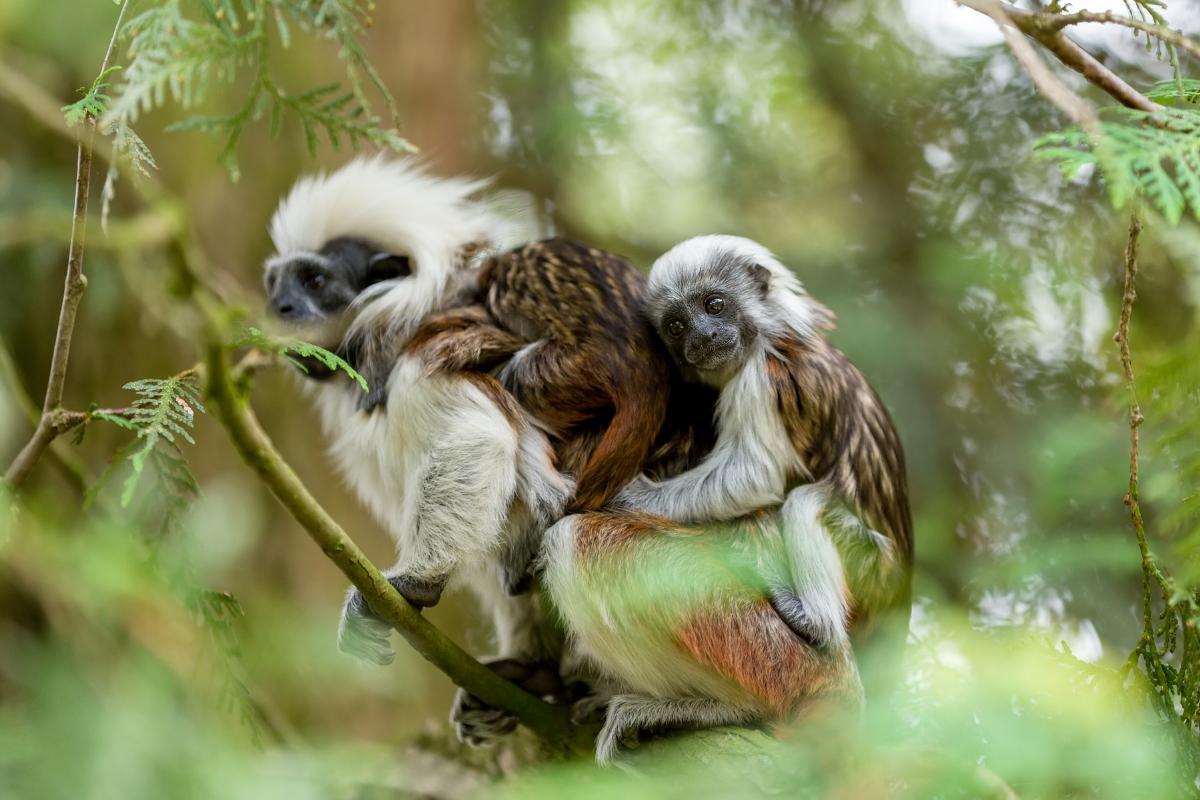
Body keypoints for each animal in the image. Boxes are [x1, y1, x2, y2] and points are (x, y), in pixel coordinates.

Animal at [611, 234, 914, 645]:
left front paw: (631, 497)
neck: (772, 335)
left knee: (806, 502)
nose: (702, 337)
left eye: (714, 305)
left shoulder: (758, 380)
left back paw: (814, 621)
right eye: (675, 326)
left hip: (872, 569)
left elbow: (753, 475)